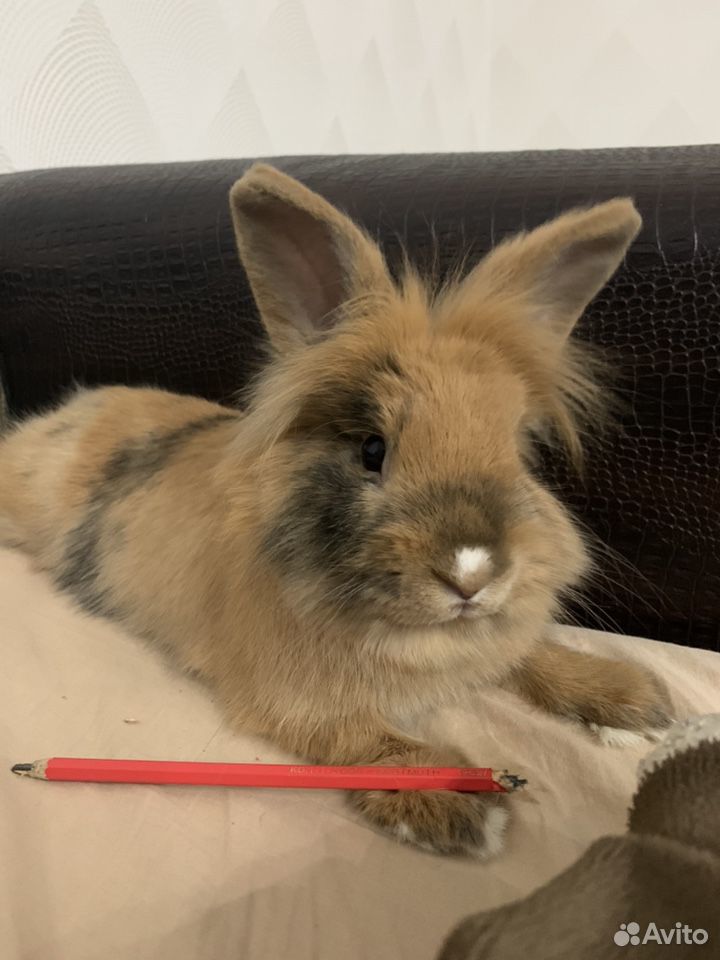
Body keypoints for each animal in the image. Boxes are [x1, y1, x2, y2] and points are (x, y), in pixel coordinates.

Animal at [0, 164, 672, 858]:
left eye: (517, 451)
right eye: (372, 449)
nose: (473, 572)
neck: (422, 636)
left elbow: (532, 653)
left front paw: (633, 701)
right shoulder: (297, 699)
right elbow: (365, 741)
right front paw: (452, 803)